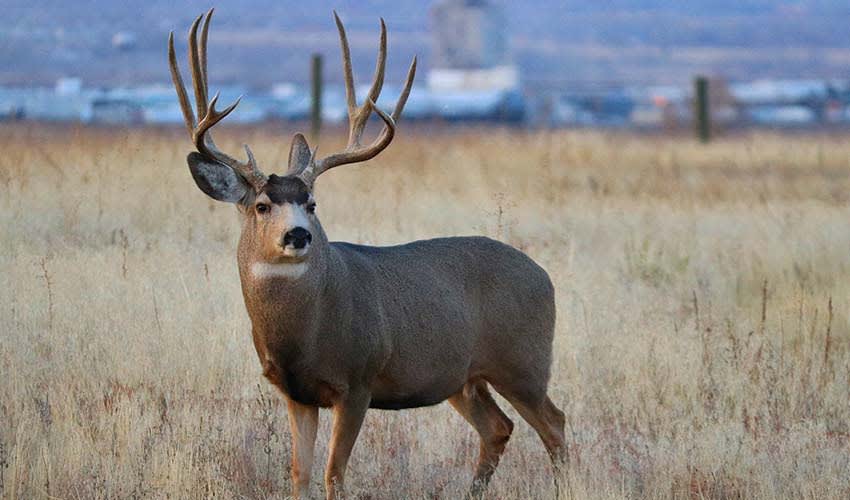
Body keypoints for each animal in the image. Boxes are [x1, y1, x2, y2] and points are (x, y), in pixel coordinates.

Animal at [168, 9, 566, 499]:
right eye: (262, 206)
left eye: (312, 204)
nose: (298, 235)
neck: (304, 333)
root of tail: (544, 276)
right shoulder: (295, 392)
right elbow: (300, 474)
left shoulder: (358, 381)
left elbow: (333, 473)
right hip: (462, 377)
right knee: (498, 427)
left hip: (524, 360)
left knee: (553, 423)